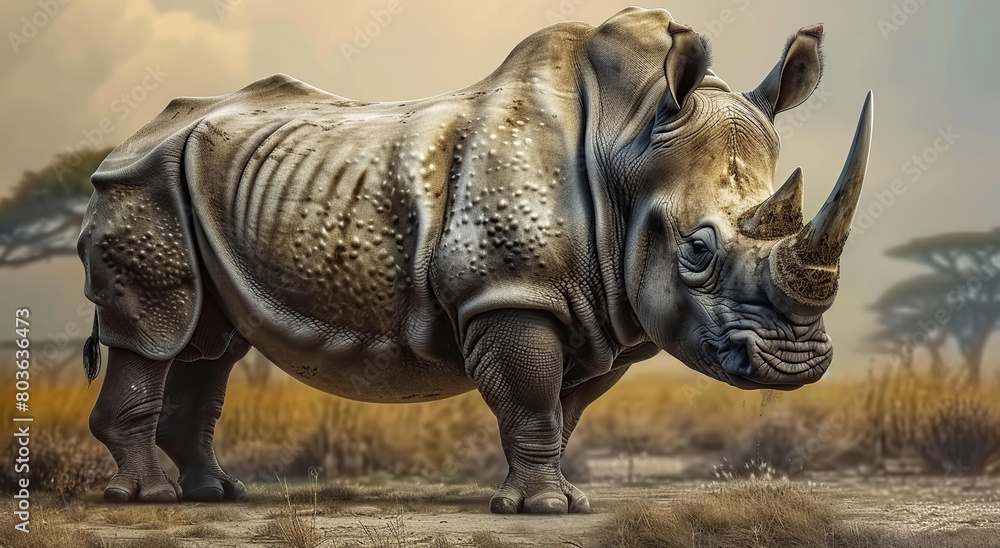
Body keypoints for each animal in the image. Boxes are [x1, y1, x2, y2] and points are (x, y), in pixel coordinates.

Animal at [78, 7, 872, 513]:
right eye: (699, 252)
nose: (795, 365)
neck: (629, 136)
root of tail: (132, 137)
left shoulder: (604, 308)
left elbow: (563, 406)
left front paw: (565, 498)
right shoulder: (510, 289)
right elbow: (531, 394)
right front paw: (544, 509)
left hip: (199, 183)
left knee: (208, 343)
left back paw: (216, 495)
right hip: (143, 181)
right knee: (158, 330)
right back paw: (149, 501)